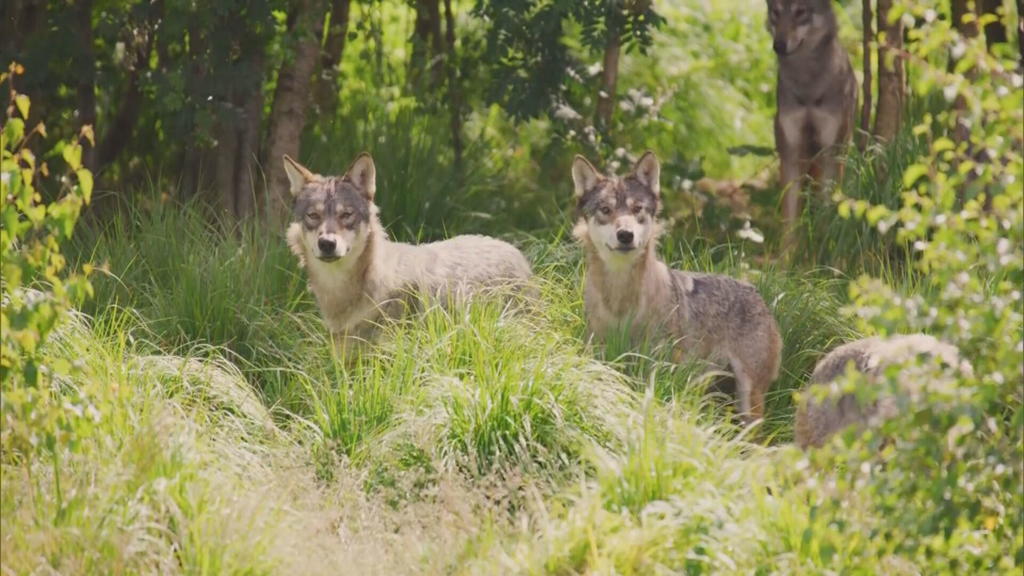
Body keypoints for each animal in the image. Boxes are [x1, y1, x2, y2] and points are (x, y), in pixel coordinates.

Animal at [571, 152, 783, 423]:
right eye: (606, 210)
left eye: (637, 209)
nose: (626, 235)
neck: (621, 302)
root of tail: (757, 294)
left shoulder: (658, 367)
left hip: (748, 398)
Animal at [766, 0, 858, 246]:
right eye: (776, 12)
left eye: (800, 12)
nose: (779, 45)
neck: (807, 86)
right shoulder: (790, 153)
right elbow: (789, 224)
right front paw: (787, 257)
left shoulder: (828, 154)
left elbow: (825, 215)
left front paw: (821, 252)